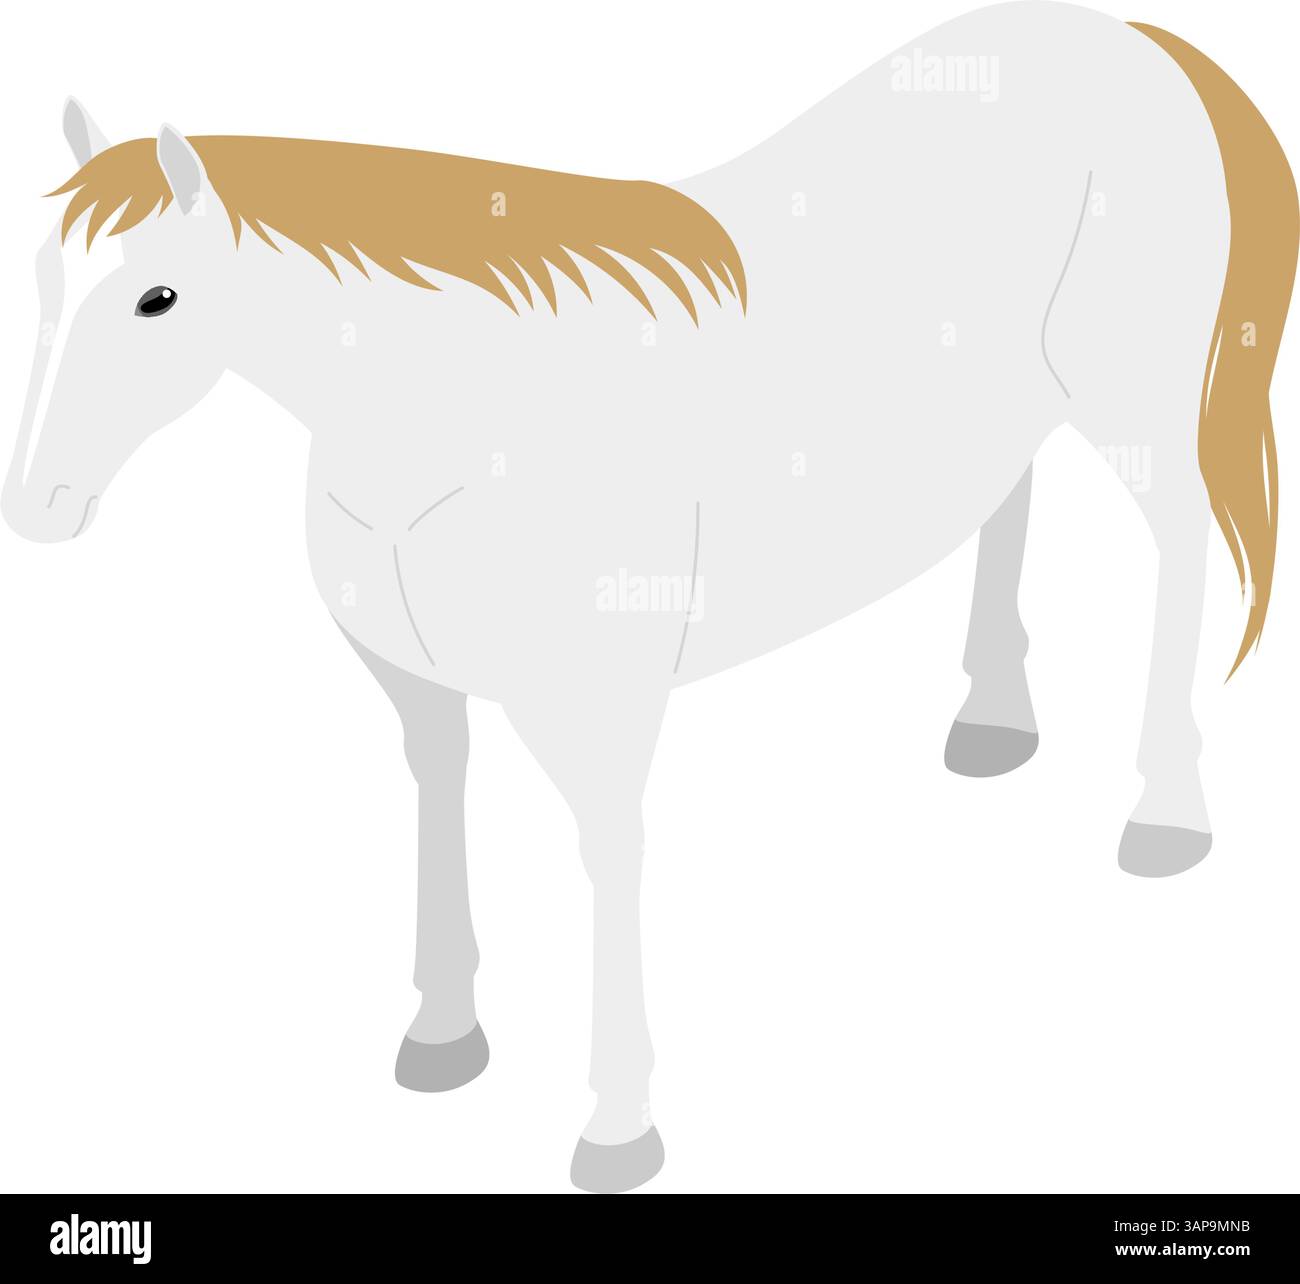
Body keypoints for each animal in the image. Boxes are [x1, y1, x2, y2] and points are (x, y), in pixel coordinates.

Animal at [5, 2, 1296, 1192]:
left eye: (158, 299)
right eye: (42, 280)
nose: (37, 507)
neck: (460, 417)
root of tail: (1132, 36)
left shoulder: (601, 712)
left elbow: (607, 855)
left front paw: (617, 1130)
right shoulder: (419, 689)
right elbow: (438, 809)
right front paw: (442, 1040)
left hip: (1133, 403)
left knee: (1182, 552)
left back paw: (1166, 815)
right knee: (1005, 493)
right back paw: (991, 722)